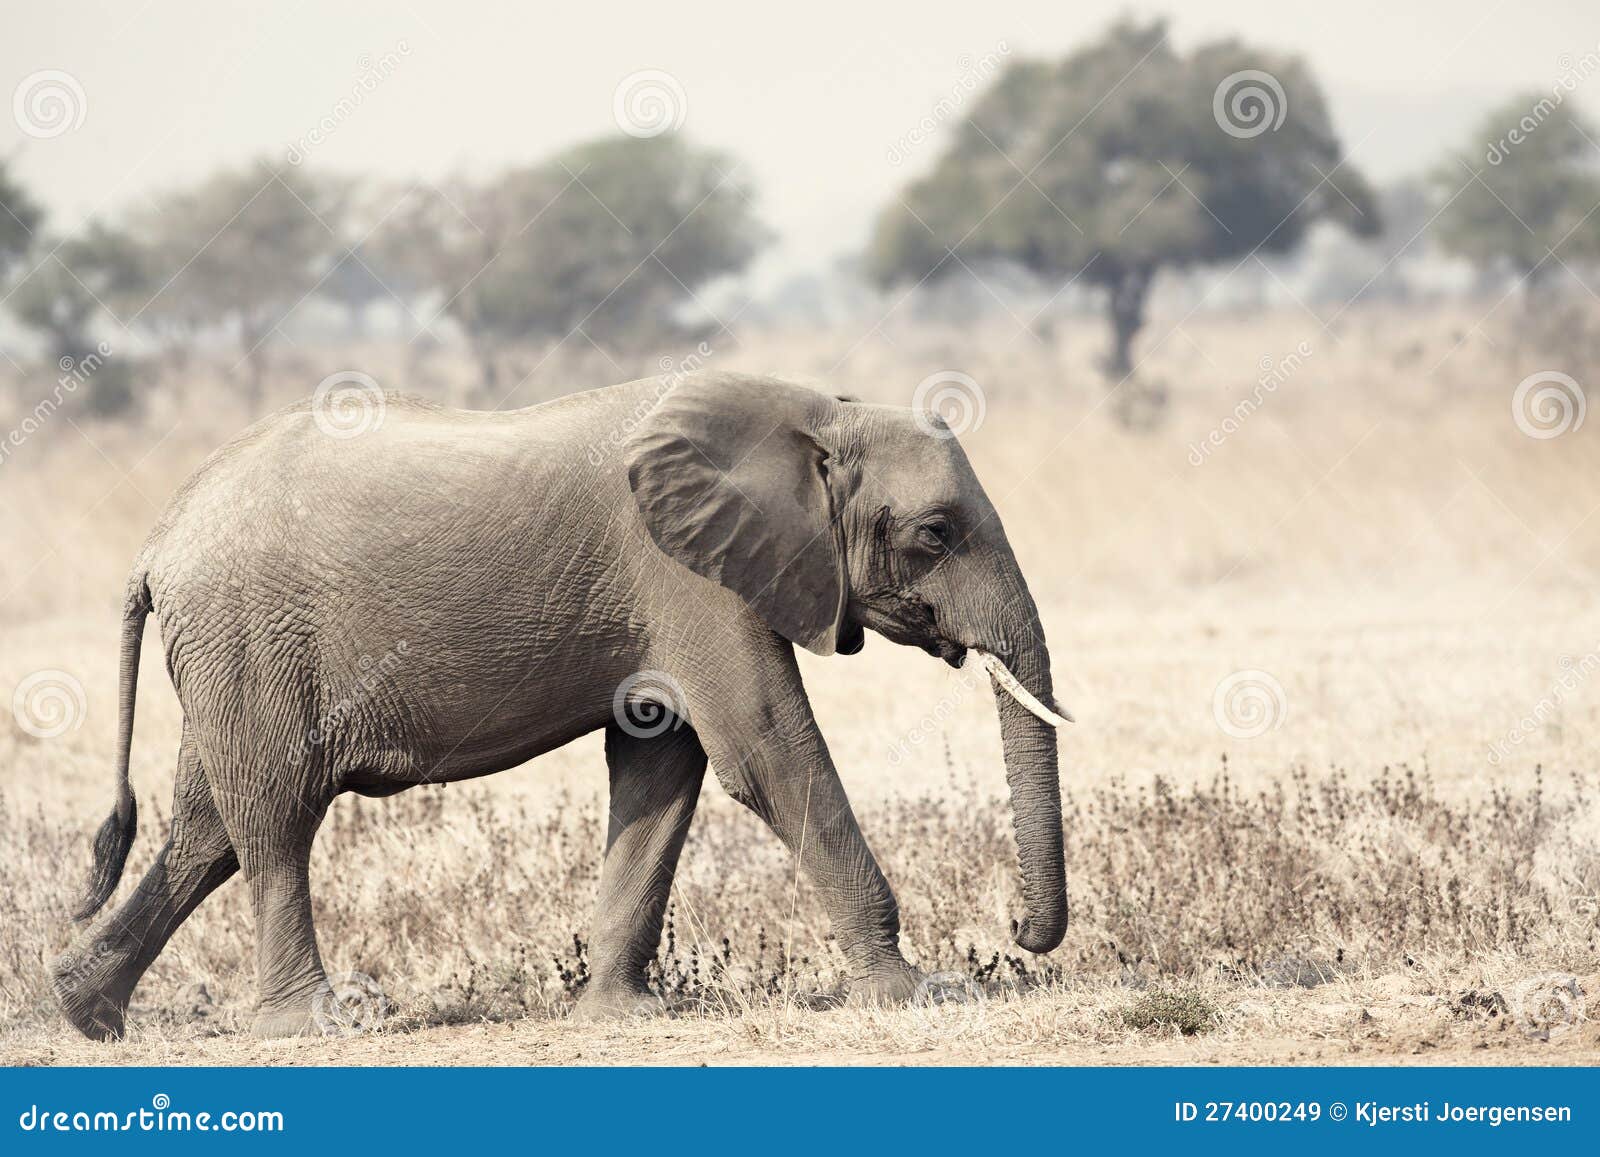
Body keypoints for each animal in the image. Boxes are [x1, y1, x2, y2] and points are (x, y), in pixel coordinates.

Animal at [53, 371, 1072, 1039]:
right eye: (934, 533)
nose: (1018, 935)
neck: (815, 414)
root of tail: (156, 542)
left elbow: (663, 765)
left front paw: (622, 1013)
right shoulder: (689, 578)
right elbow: (767, 752)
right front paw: (920, 993)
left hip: (228, 656)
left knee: (208, 825)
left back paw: (84, 1007)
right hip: (249, 641)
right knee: (273, 817)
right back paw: (319, 1023)